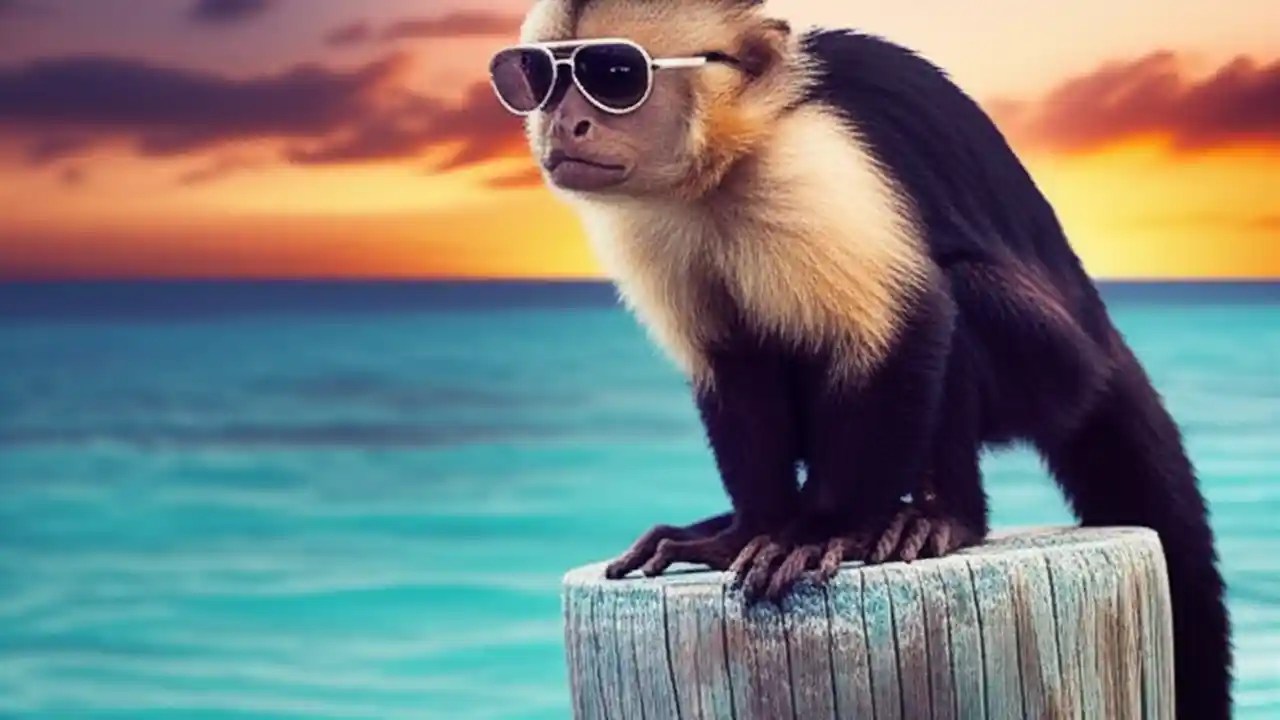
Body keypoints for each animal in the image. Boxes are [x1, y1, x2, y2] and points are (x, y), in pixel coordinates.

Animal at [497, 1, 1232, 716]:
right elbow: (732, 363)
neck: (730, 160)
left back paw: (944, 516)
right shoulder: (652, 219)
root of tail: (1103, 340)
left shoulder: (809, 163)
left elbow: (911, 319)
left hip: (1059, 371)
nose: (565, 122)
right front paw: (743, 533)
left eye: (613, 74)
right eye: (538, 80)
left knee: (958, 298)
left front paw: (827, 530)